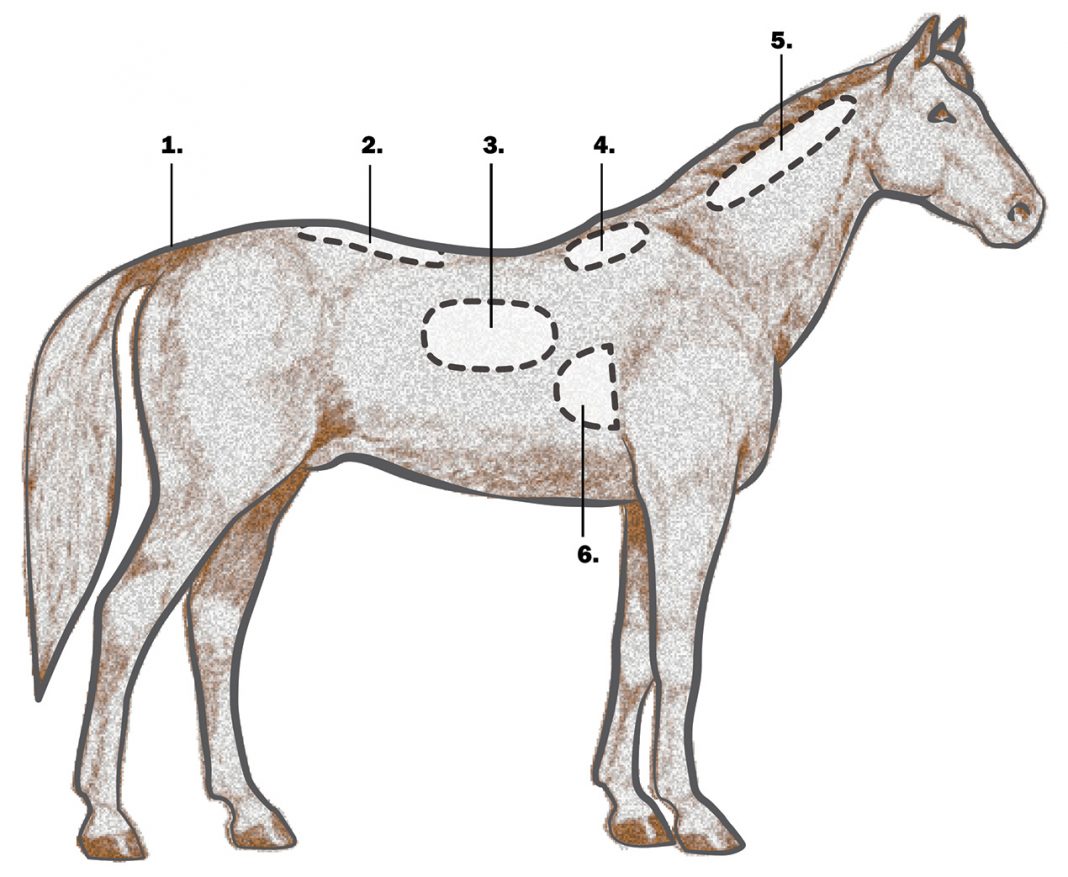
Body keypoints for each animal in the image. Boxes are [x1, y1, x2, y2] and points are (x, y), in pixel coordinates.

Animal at [23, 14, 1043, 859]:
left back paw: (253, 815)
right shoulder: (691, 496)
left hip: (268, 490)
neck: (719, 277)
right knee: (127, 613)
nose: (1026, 213)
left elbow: (633, 652)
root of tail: (173, 261)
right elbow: (680, 654)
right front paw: (697, 817)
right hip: (211, 489)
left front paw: (631, 812)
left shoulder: (639, 506)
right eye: (941, 111)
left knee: (214, 623)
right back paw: (109, 824)